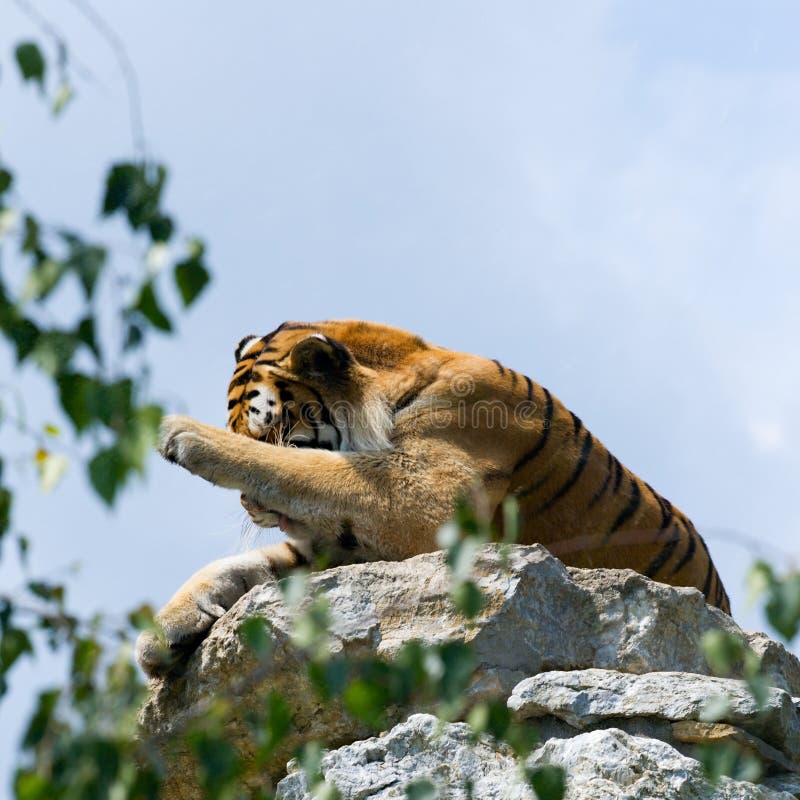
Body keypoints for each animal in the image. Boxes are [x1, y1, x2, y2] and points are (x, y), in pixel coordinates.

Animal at [135, 319, 730, 677]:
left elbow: (302, 468)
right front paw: (162, 632)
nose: (248, 506)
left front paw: (180, 433)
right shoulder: (347, 543)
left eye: (266, 432)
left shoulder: (420, 499)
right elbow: (239, 565)